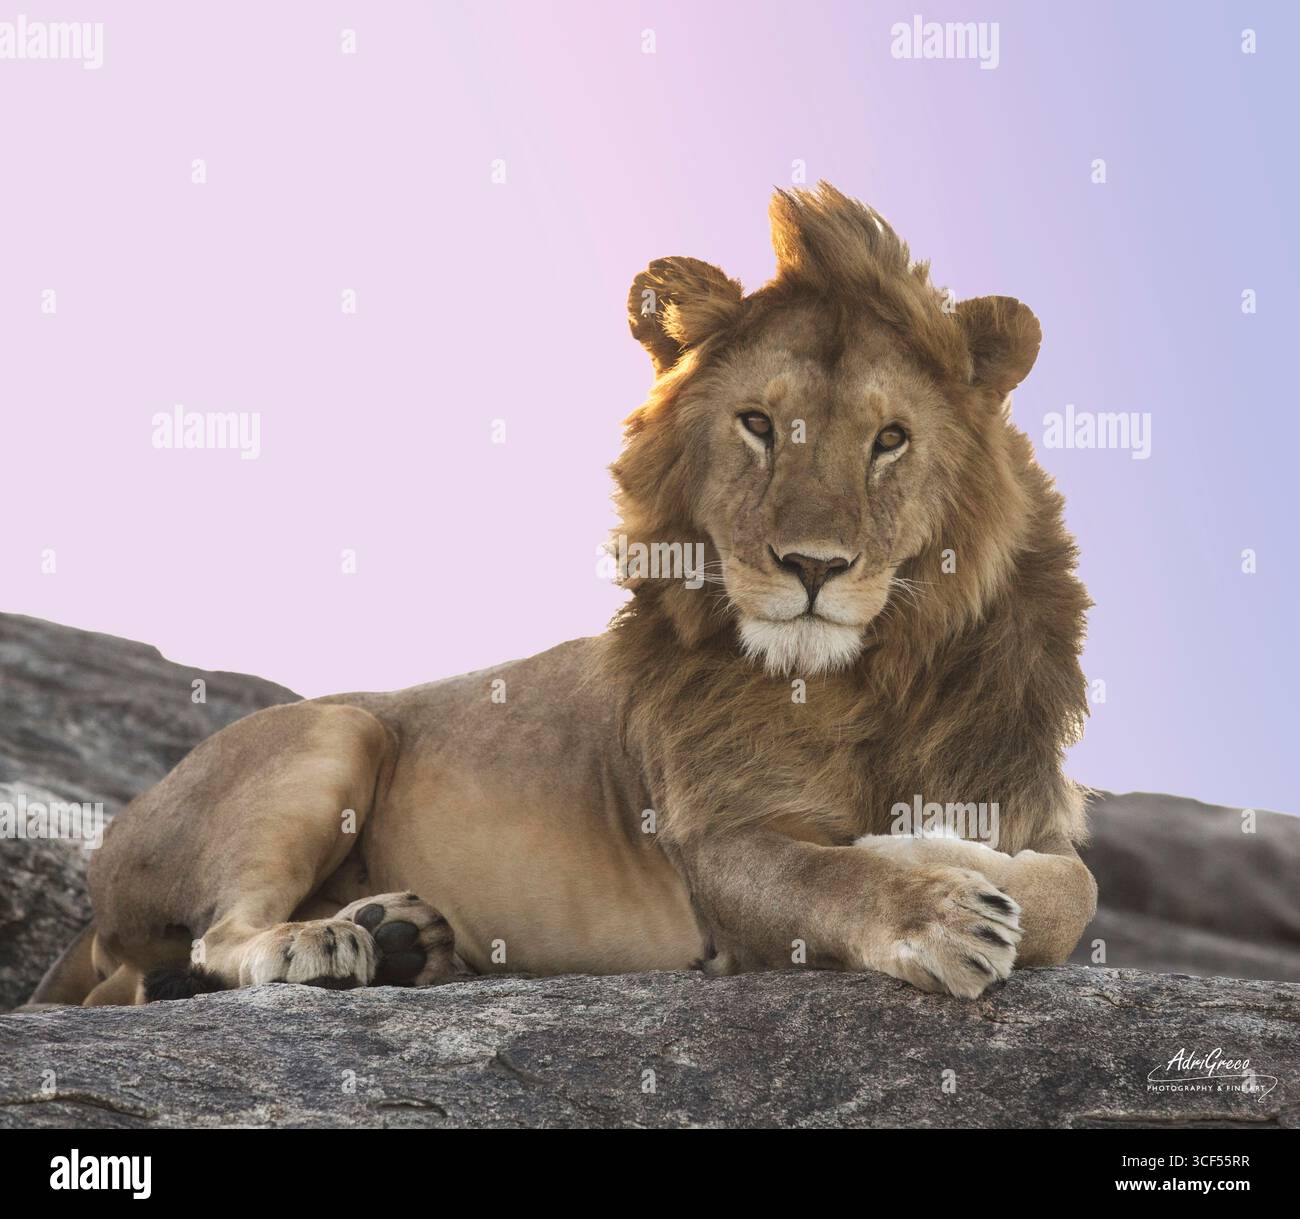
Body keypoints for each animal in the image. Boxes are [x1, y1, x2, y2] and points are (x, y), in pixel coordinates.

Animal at [29, 183, 1096, 1008]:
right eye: (757, 424)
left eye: (891, 439)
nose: (813, 566)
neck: (868, 677)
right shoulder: (714, 847)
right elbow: (825, 869)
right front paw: (935, 901)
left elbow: (1072, 888)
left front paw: (947, 852)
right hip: (336, 731)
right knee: (209, 941)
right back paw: (320, 942)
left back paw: (401, 935)